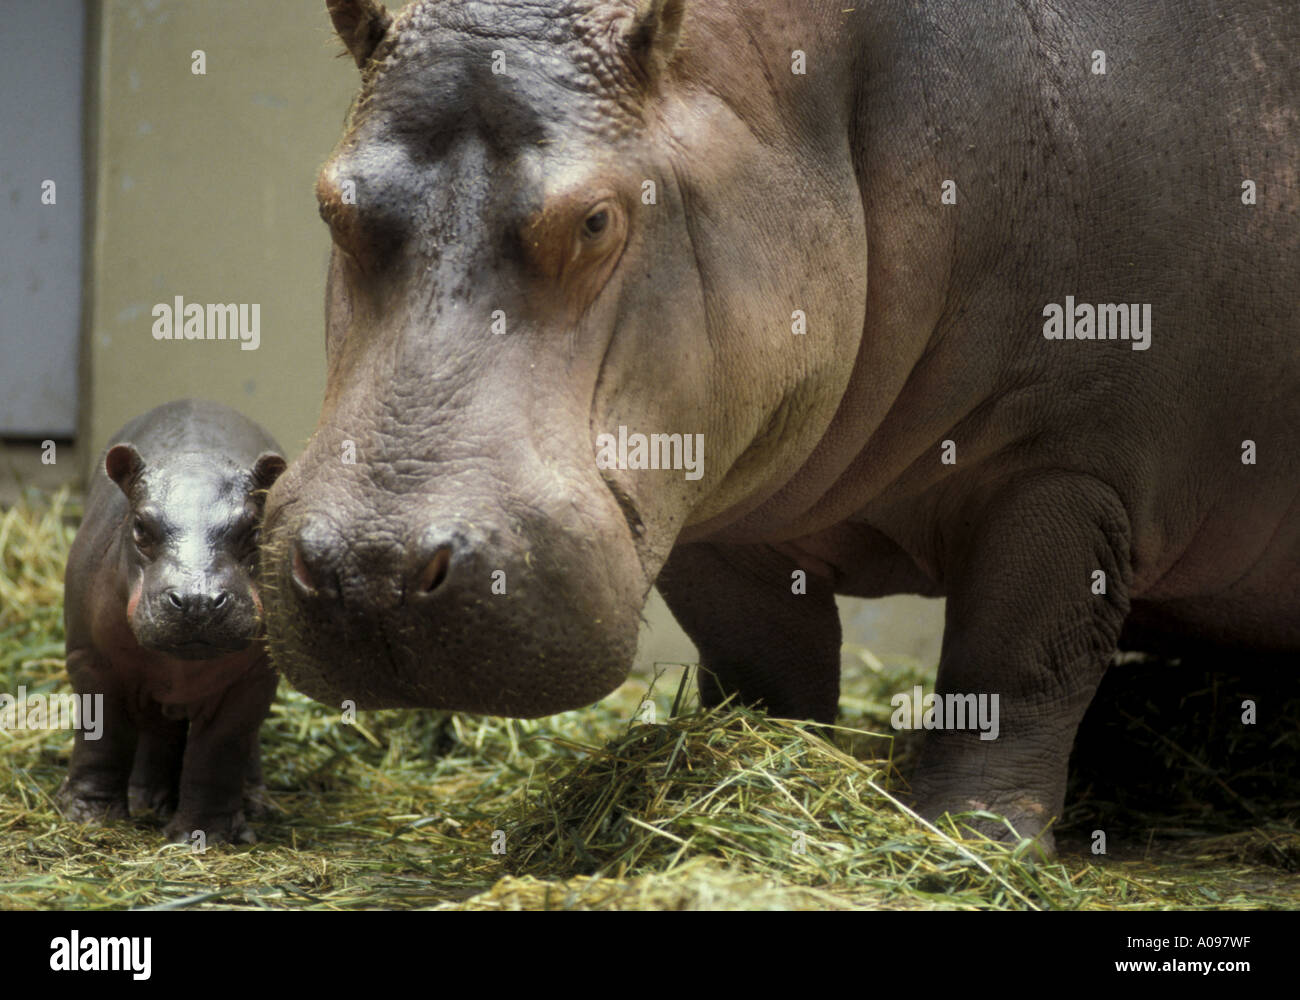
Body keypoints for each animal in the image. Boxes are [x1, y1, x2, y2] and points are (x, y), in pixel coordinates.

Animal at [58, 400, 286, 843]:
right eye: (140, 525)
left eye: (253, 529)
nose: (198, 601)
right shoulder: (91, 659)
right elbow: (102, 739)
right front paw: (91, 819)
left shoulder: (252, 680)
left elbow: (220, 749)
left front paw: (205, 835)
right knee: (153, 735)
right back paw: (146, 800)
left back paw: (255, 804)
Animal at [263, 0, 1300, 851]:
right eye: (330, 203)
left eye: (597, 219)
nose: (374, 572)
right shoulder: (706, 498)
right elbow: (767, 662)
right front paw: (744, 763)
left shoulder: (1065, 468)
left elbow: (1017, 665)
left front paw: (964, 840)